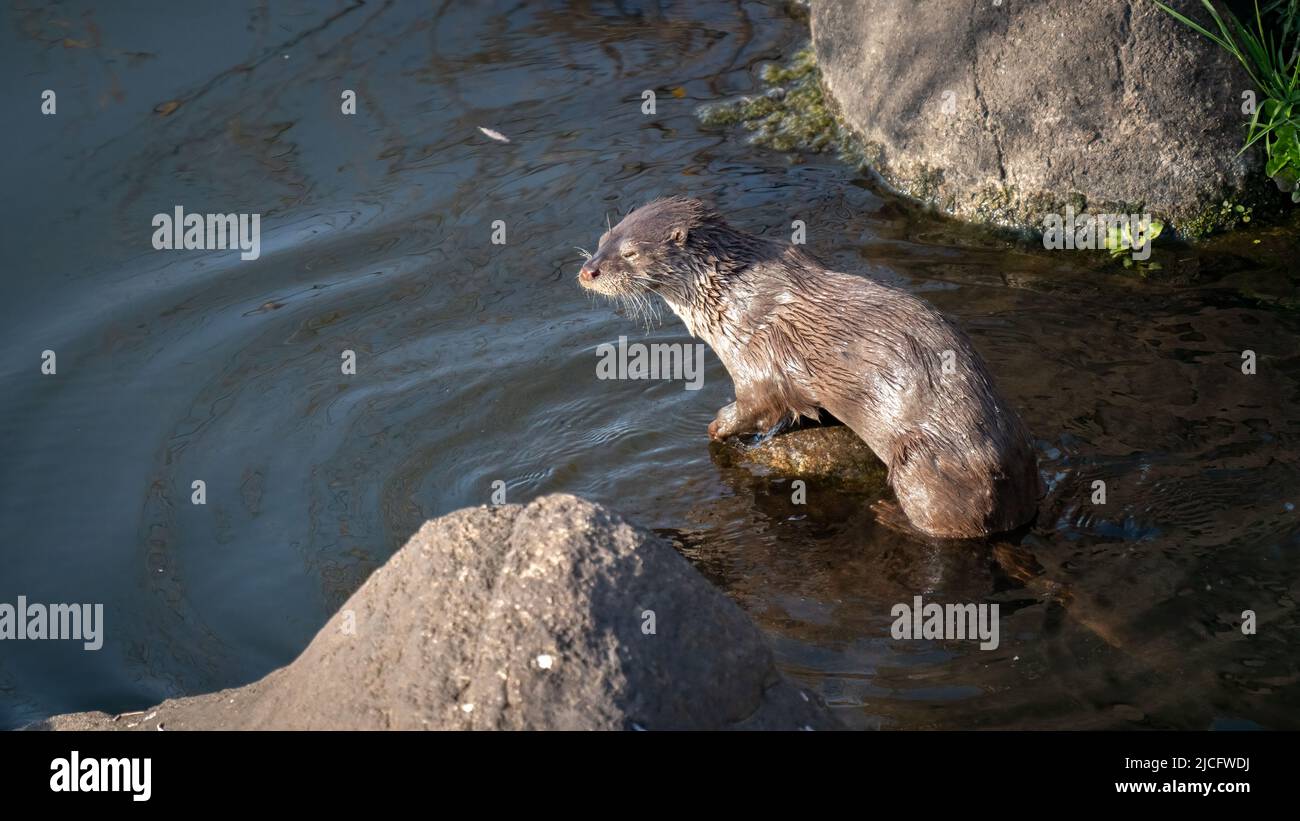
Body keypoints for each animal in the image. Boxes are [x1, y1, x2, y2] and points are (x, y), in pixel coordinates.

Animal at [577, 197, 1040, 539]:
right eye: (602, 238)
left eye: (630, 253)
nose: (588, 270)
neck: (728, 298)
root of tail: (1017, 495)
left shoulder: (755, 359)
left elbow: (757, 407)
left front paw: (720, 428)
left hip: (923, 463)